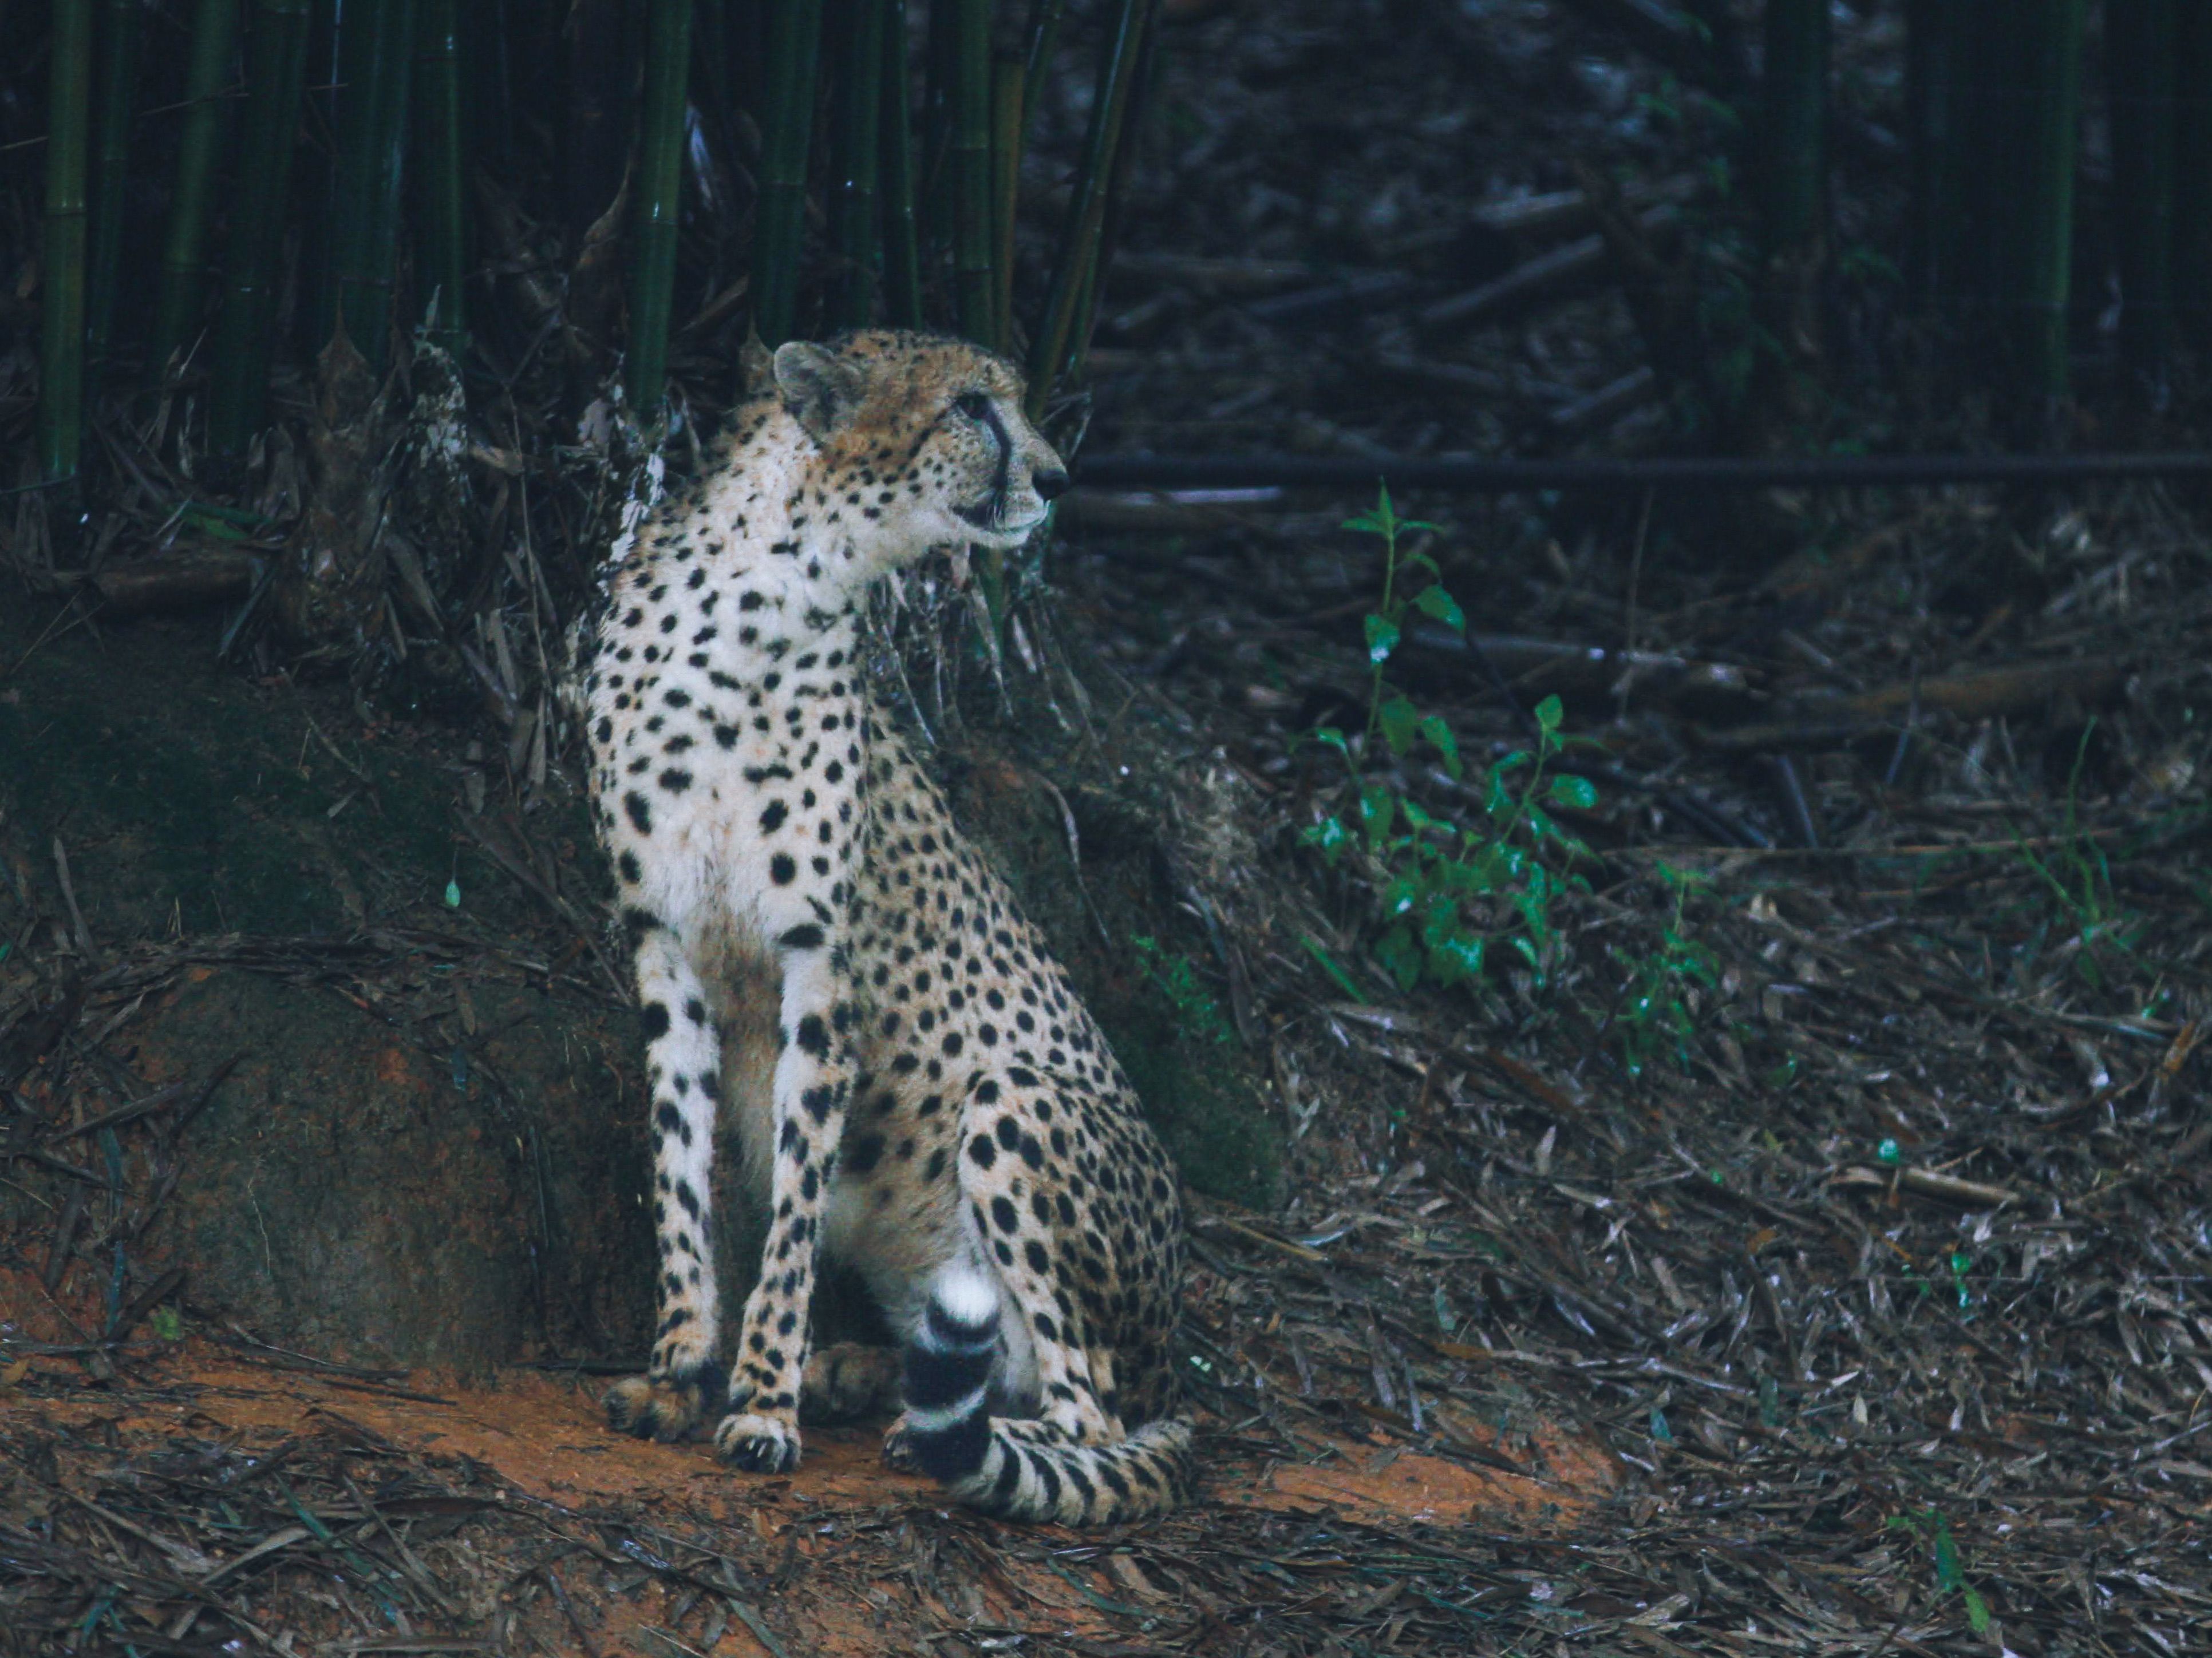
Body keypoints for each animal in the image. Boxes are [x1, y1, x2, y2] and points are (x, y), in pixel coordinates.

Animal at [574, 329, 1193, 1525]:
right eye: (970, 408)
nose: (1056, 479)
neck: (769, 592)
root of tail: (1175, 1360)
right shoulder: (665, 947)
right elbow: (682, 1180)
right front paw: (680, 1367)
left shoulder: (819, 970)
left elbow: (792, 1215)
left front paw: (761, 1402)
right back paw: (868, 1374)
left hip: (1015, 1096)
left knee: (1090, 1414)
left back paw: (938, 1426)